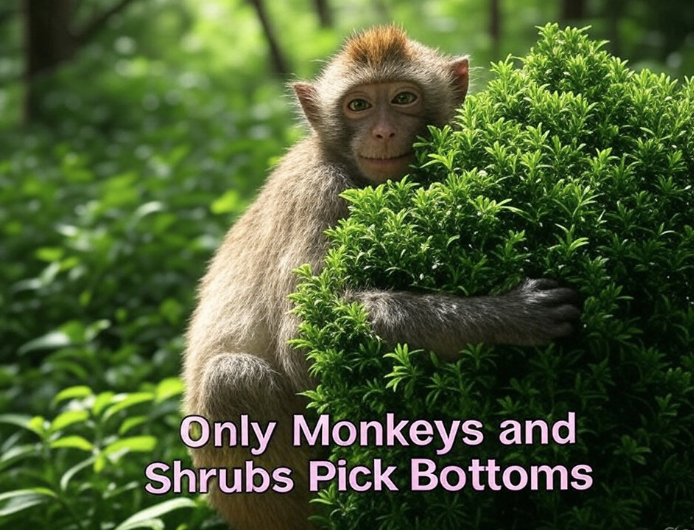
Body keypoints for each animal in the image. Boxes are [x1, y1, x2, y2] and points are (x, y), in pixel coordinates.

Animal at [183, 26, 580, 530]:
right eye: (359, 105)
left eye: (404, 98)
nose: (383, 131)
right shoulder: (319, 194)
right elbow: (301, 338)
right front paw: (510, 315)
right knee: (233, 379)